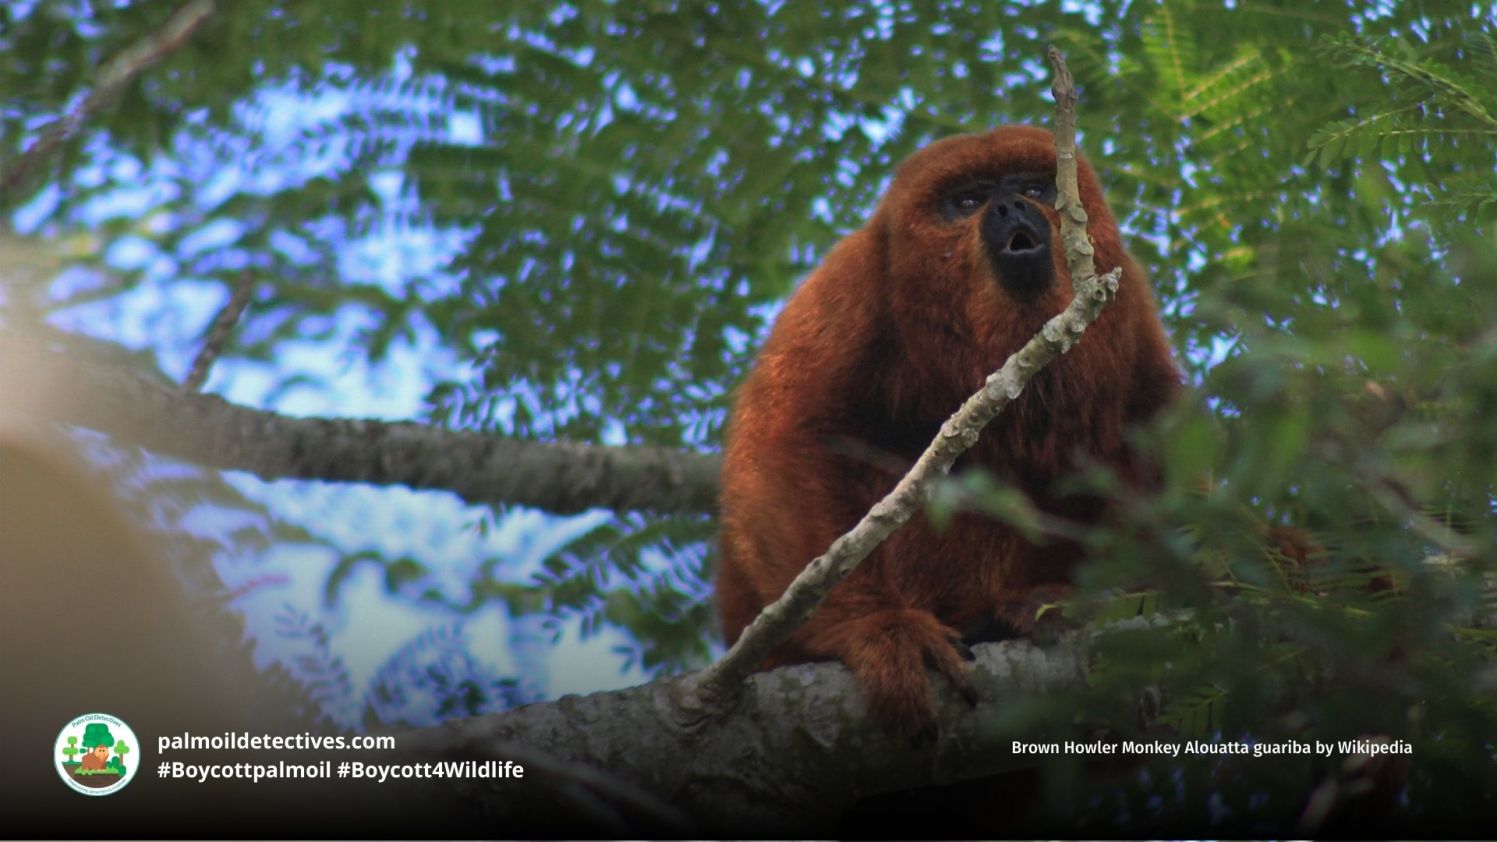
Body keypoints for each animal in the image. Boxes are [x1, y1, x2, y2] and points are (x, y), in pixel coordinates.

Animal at [716, 125, 1182, 737]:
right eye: (967, 201)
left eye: (1035, 187)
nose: (1011, 206)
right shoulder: (850, 283)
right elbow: (790, 439)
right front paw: (873, 626)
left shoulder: (1126, 302)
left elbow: (1152, 443)